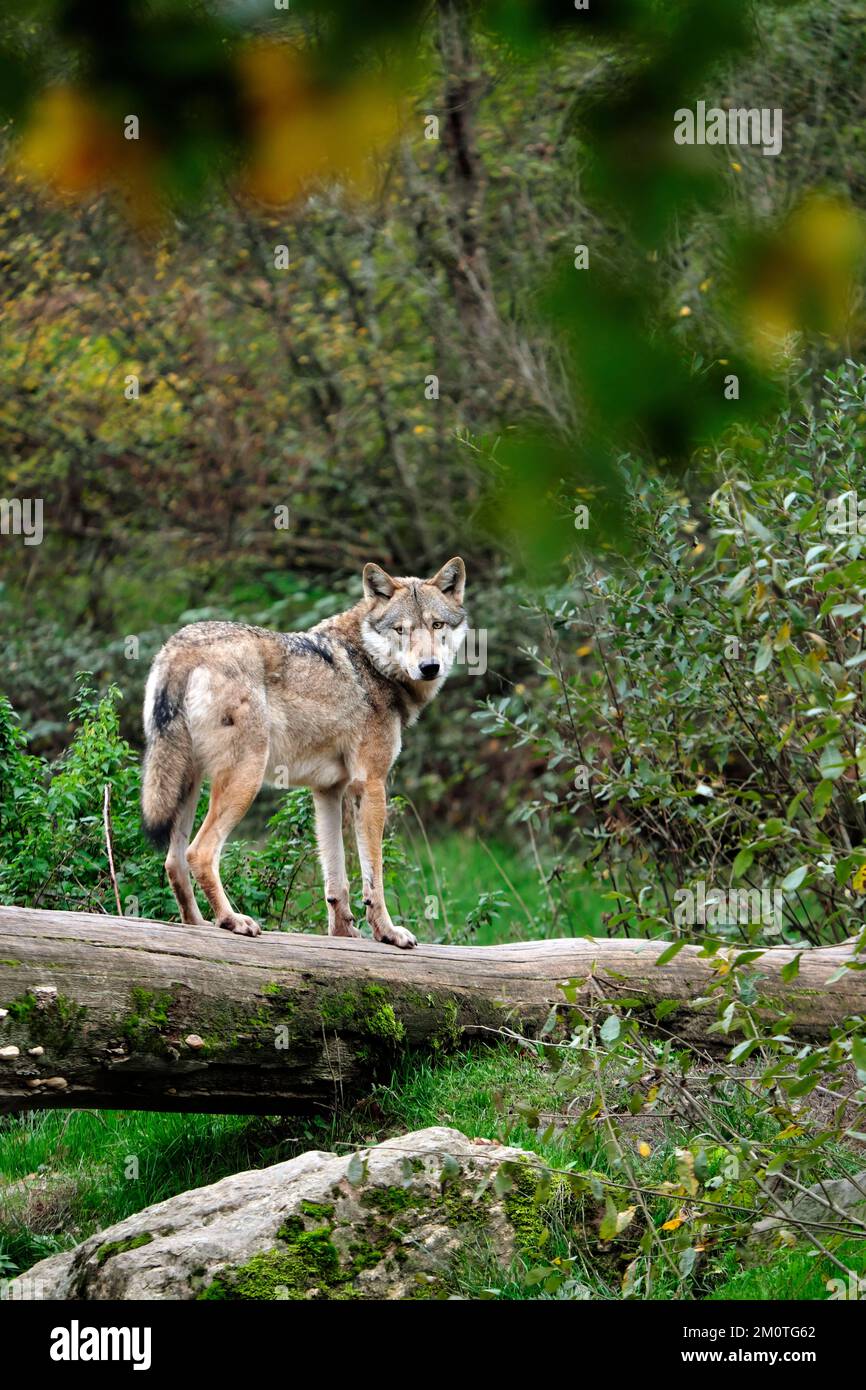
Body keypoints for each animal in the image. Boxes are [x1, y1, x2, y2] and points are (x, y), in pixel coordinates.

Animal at [141, 558, 467, 948]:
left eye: (436, 625)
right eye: (401, 630)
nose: (429, 667)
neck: (371, 663)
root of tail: (180, 648)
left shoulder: (328, 790)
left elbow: (336, 880)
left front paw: (342, 934)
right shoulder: (370, 784)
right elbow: (373, 876)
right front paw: (387, 933)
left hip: (188, 784)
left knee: (173, 861)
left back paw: (198, 926)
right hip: (244, 779)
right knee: (199, 853)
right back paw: (232, 921)